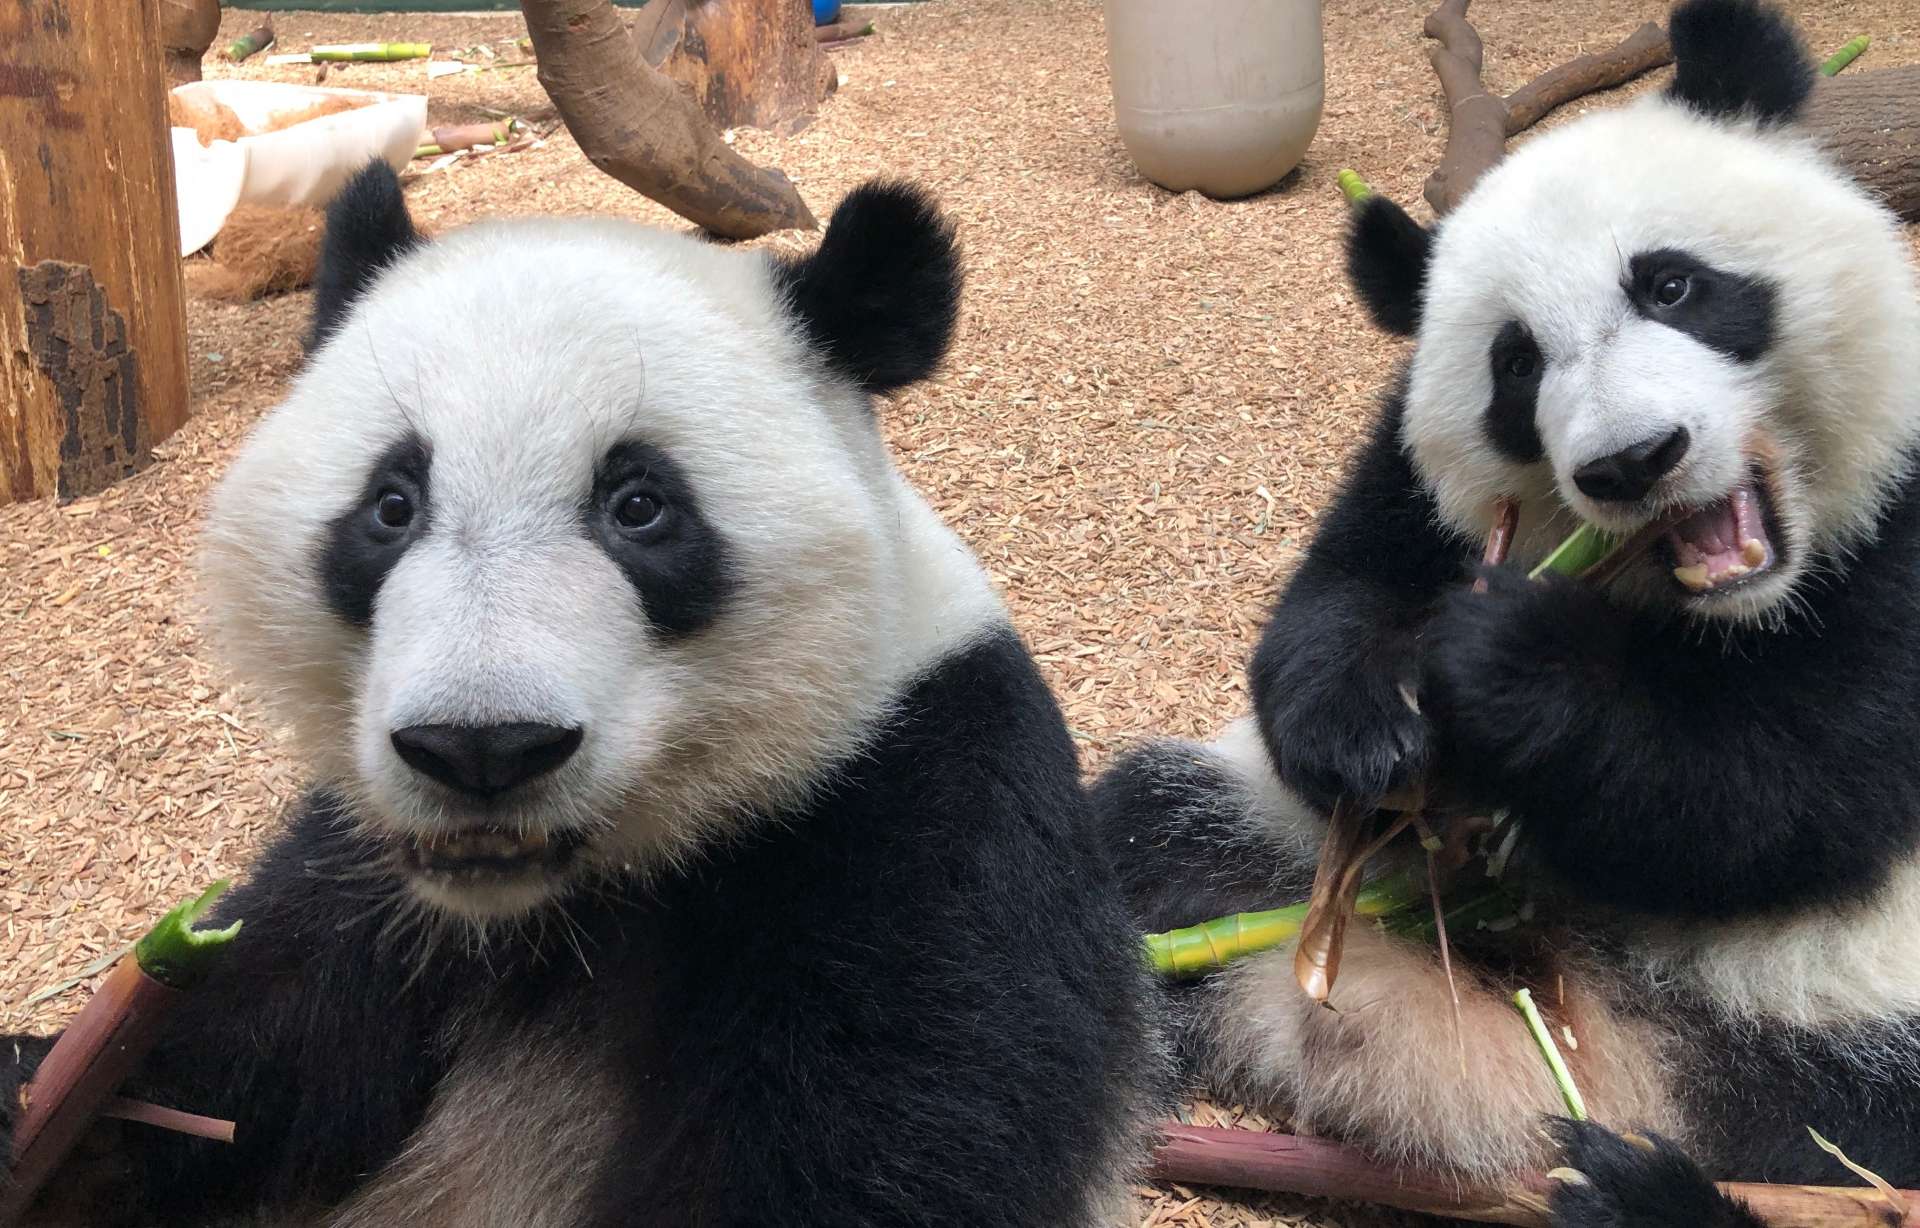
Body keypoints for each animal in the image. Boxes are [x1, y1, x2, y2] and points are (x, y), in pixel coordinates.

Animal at [0, 165, 1163, 1227]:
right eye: (392, 503)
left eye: (640, 506)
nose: (481, 748)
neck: (562, 900)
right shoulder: (363, 882)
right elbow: (247, 1052)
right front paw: (48, 1100)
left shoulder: (914, 811)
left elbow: (872, 1143)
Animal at [1097, 0, 1920, 1223]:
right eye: (1516, 364)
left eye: (1670, 286)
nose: (1634, 461)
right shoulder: (1405, 467)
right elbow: (1328, 606)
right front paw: (1374, 720)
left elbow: (1795, 781)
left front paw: (1516, 666)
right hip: (1258, 845)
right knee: (1130, 840)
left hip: (1849, 999)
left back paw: (1638, 1190)